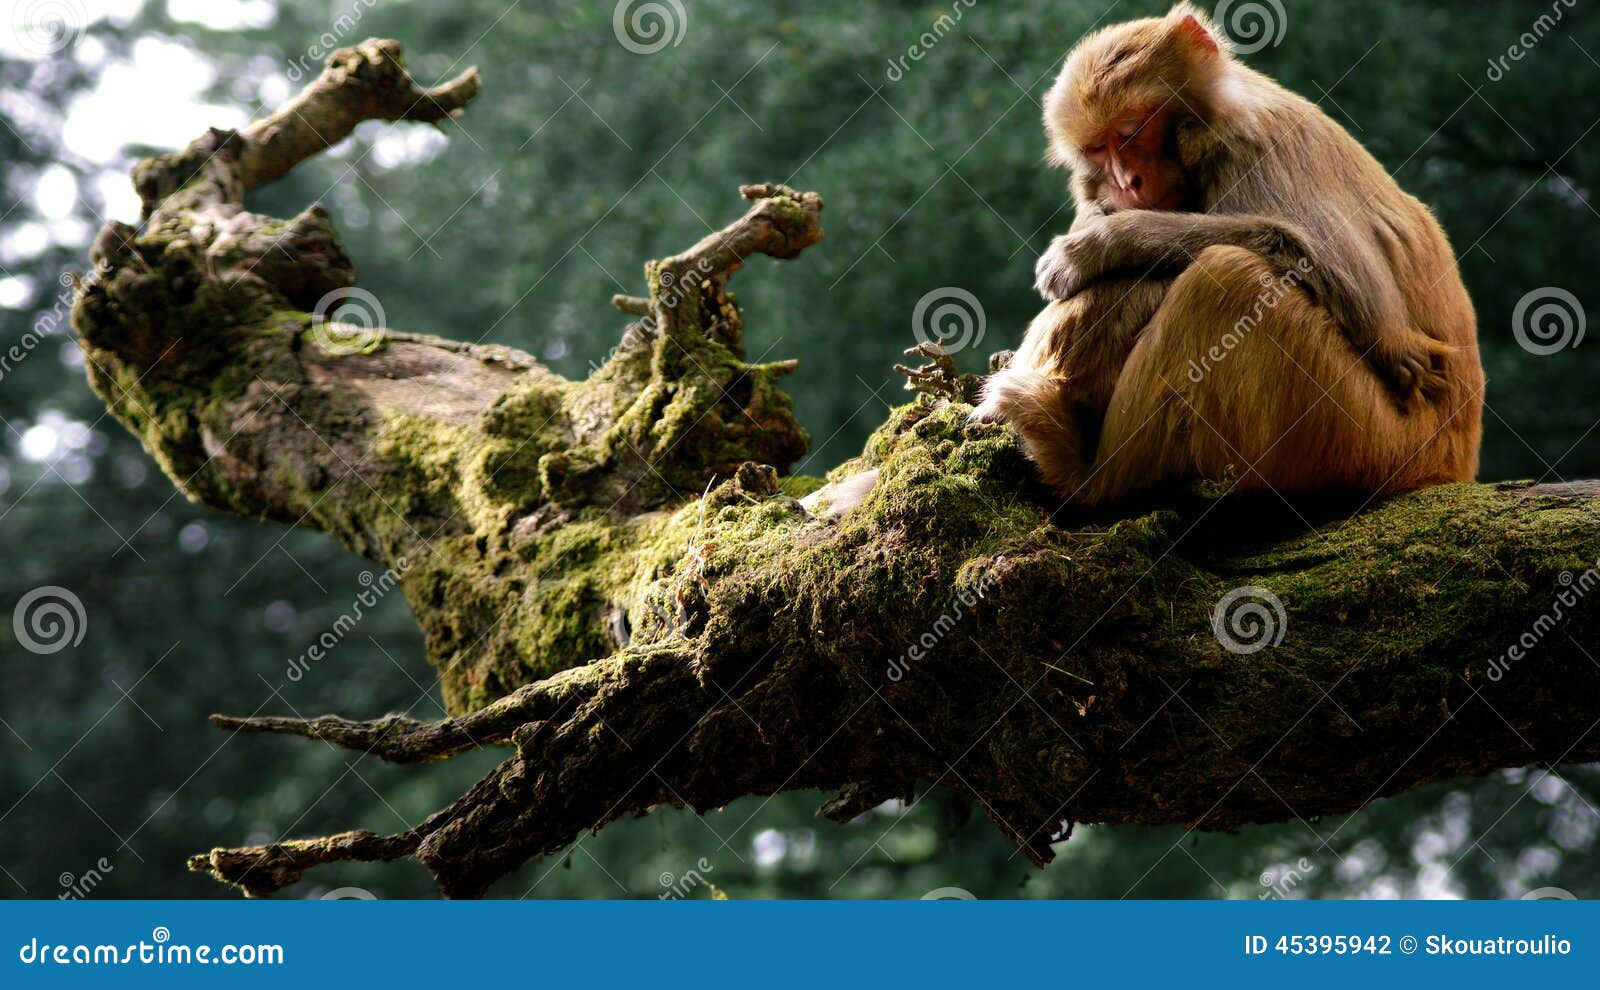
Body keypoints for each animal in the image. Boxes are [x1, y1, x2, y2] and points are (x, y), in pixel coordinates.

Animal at [970, 2, 1484, 506]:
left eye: (1132, 132)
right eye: (1097, 148)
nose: (1126, 182)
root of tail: (1453, 460)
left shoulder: (1252, 145)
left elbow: (1356, 292)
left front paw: (1102, 245)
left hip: (1365, 439)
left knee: (1229, 279)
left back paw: (1094, 481)